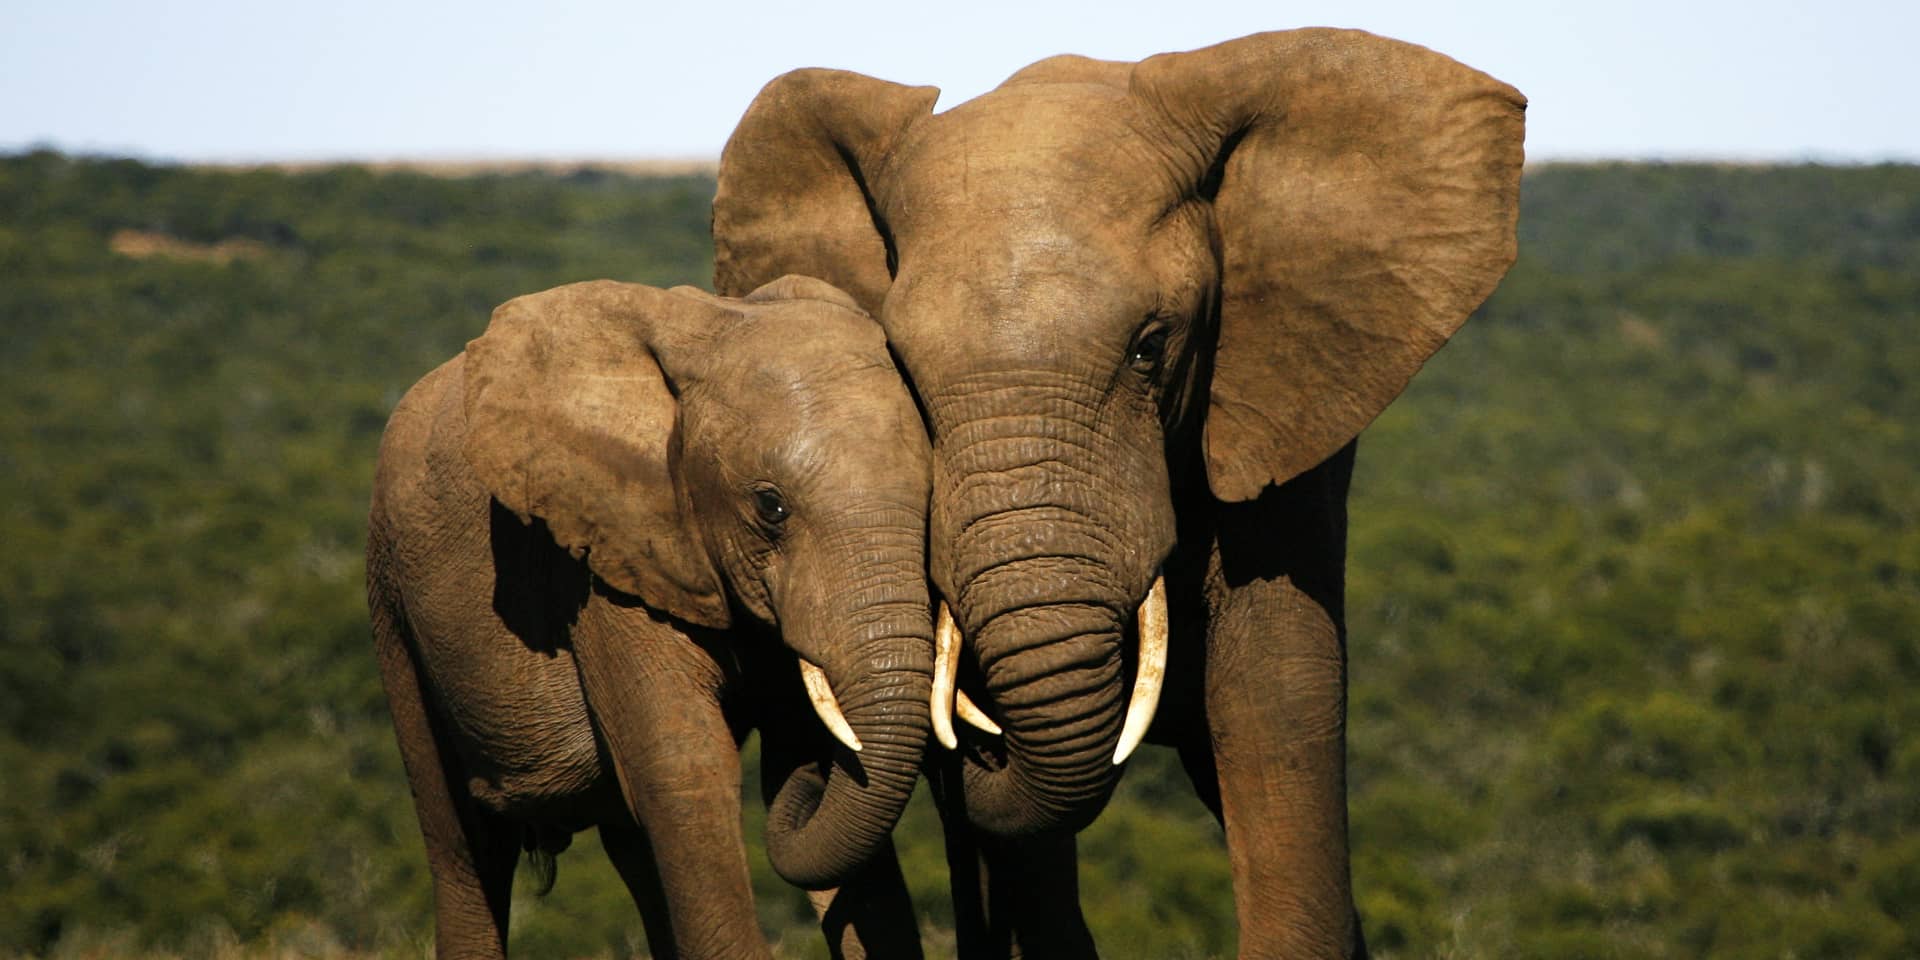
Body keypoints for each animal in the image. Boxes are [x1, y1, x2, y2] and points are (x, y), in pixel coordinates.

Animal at [364, 277, 935, 959]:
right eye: (770, 508)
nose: (812, 782)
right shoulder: (604, 554)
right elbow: (683, 769)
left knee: (630, 846)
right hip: (393, 599)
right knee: (461, 844)